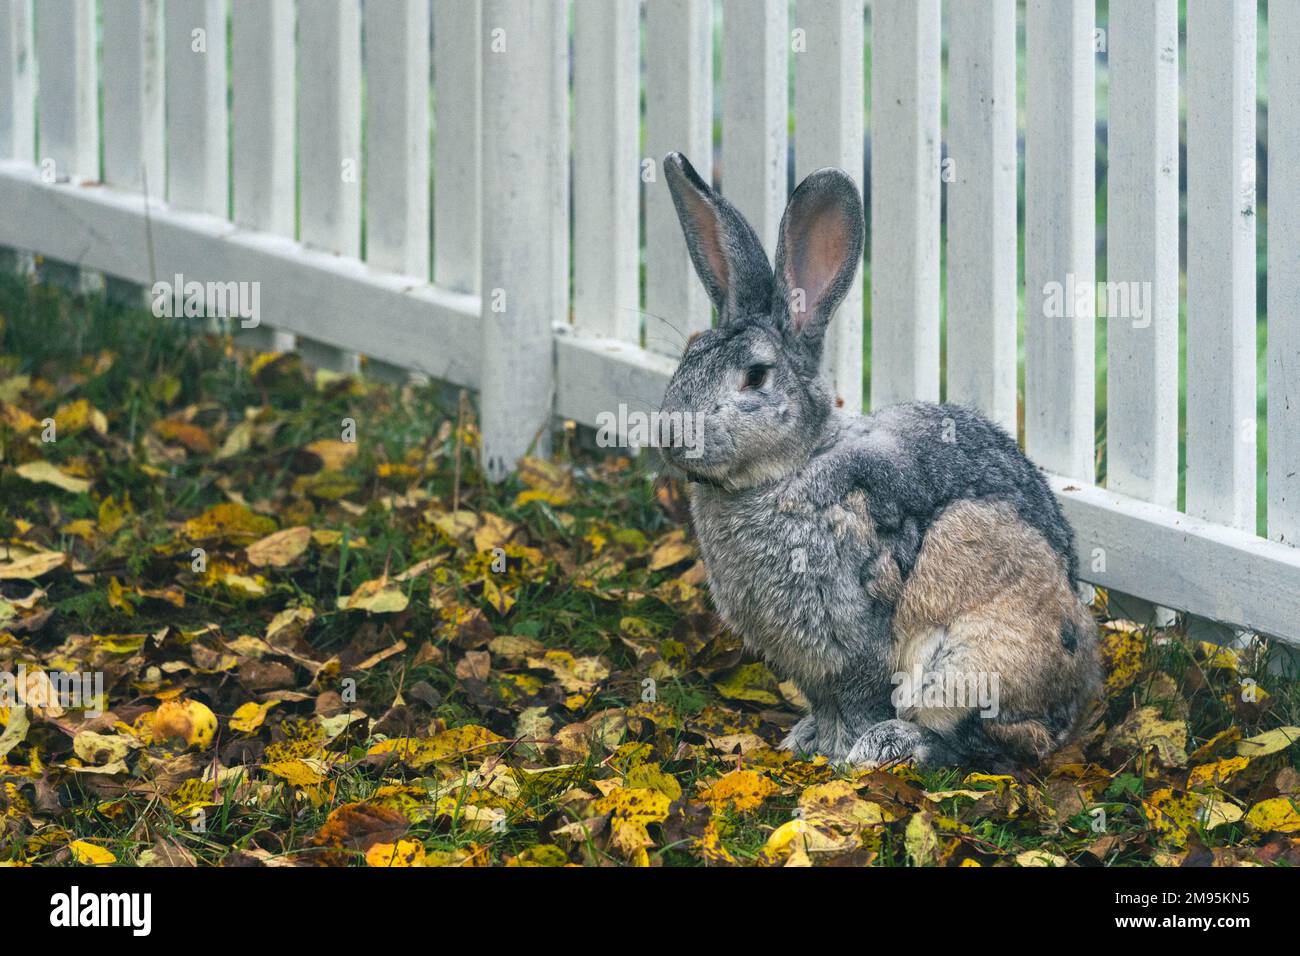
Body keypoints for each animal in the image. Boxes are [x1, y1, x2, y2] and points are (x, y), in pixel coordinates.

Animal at [656, 152, 1101, 768]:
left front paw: (841, 753)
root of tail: (1075, 706)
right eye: (689, 352)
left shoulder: (859, 639)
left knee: (990, 744)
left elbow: (858, 699)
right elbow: (824, 704)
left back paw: (894, 745)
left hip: (970, 659)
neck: (788, 468)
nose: (671, 435)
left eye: (756, 376)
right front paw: (807, 740)